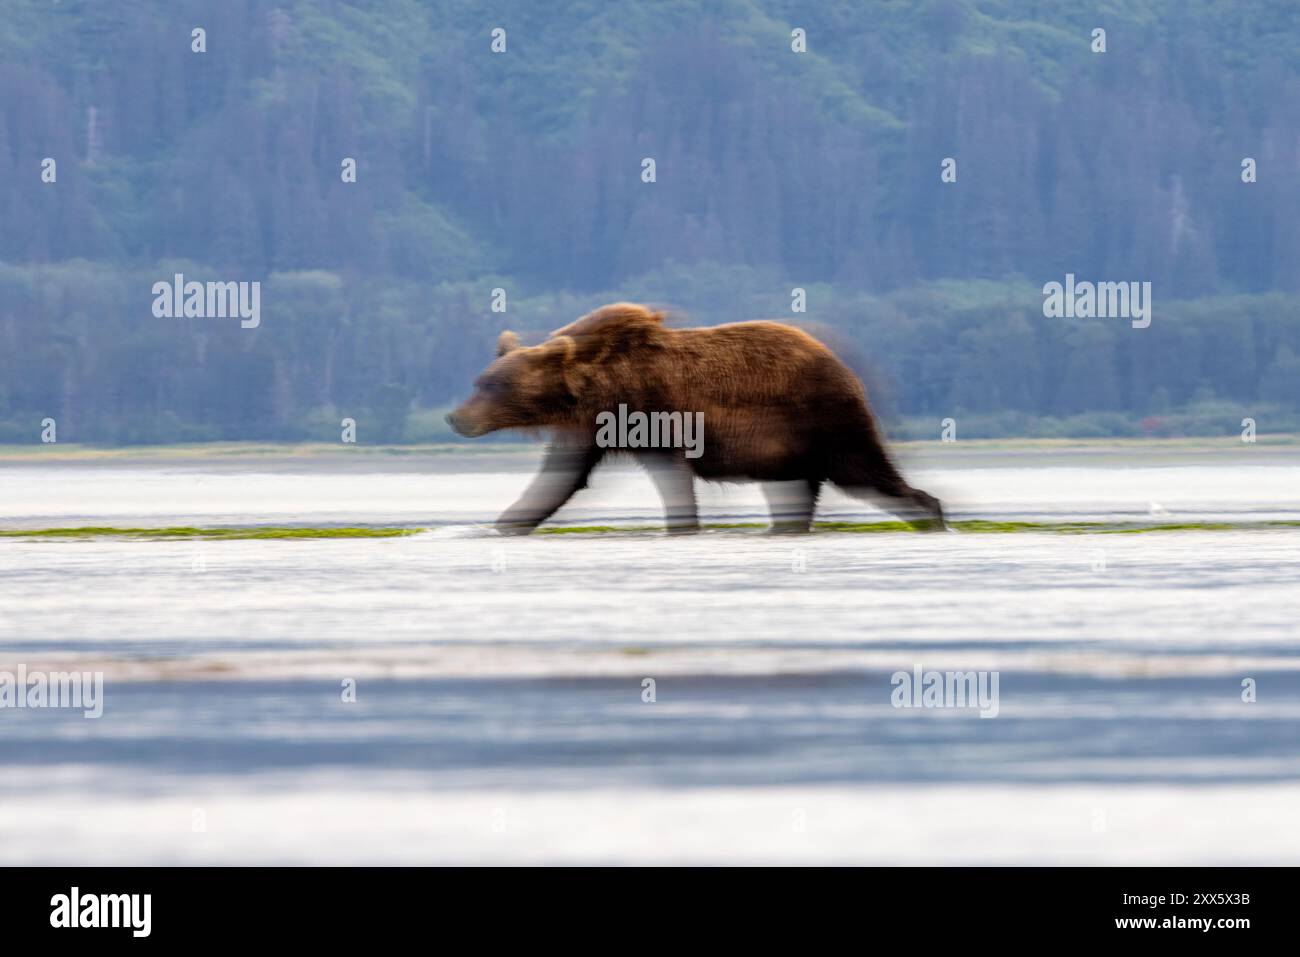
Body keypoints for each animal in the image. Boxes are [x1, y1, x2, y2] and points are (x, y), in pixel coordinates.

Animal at [446, 302, 944, 534]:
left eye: (492, 386)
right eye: (479, 381)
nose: (456, 417)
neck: (597, 387)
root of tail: (845, 365)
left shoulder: (652, 415)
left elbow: (672, 477)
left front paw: (682, 522)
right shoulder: (588, 429)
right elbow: (558, 481)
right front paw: (506, 522)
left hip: (824, 418)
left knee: (866, 470)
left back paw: (929, 513)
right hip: (786, 450)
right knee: (797, 493)